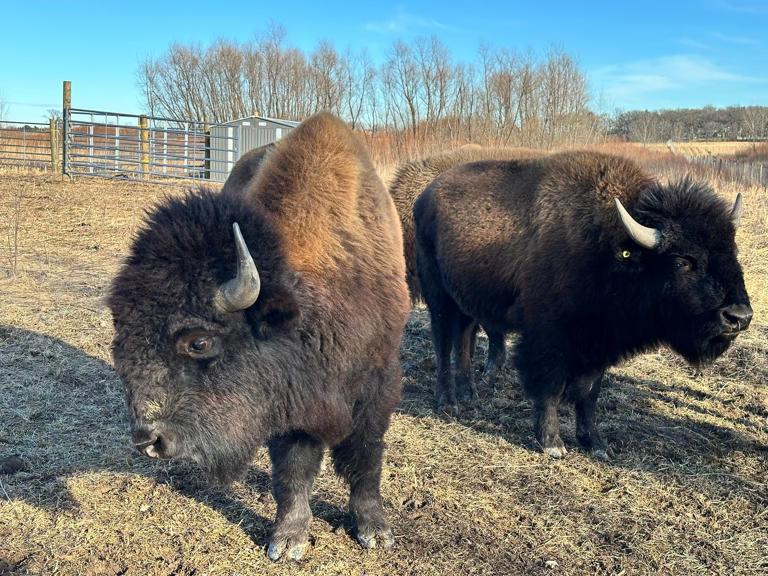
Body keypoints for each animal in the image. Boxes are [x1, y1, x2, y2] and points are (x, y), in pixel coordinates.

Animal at [108, 113, 410, 560]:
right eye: (121, 339)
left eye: (200, 342)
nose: (148, 440)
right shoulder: (287, 403)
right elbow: (293, 470)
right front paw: (287, 540)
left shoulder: (379, 383)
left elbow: (366, 458)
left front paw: (375, 530)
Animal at [413, 150, 752, 458]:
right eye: (683, 261)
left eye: (733, 250)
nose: (739, 316)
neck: (611, 250)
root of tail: (424, 196)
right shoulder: (549, 338)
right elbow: (550, 386)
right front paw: (552, 444)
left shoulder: (598, 343)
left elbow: (589, 393)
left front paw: (596, 445)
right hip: (438, 297)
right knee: (443, 345)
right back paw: (447, 403)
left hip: (465, 301)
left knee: (463, 341)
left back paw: (468, 394)